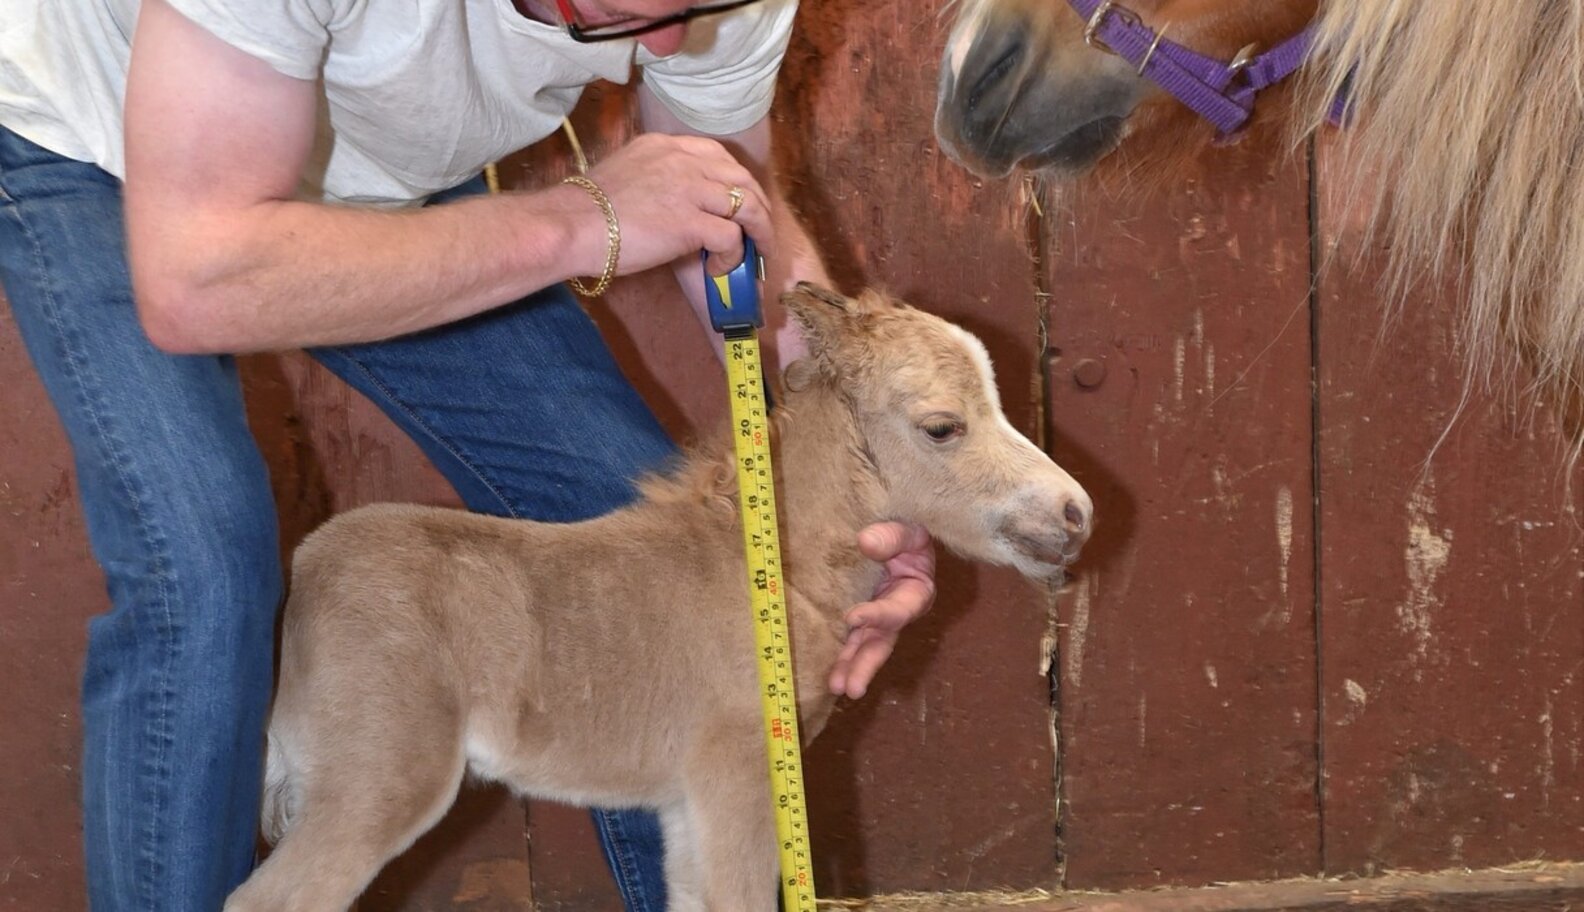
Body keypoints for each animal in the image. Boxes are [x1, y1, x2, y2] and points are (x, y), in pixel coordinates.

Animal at [221, 283, 1093, 912]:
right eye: (943, 427)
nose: (1075, 512)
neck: (779, 568)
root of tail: (302, 579)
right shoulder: (738, 778)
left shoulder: (686, 804)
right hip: (375, 781)